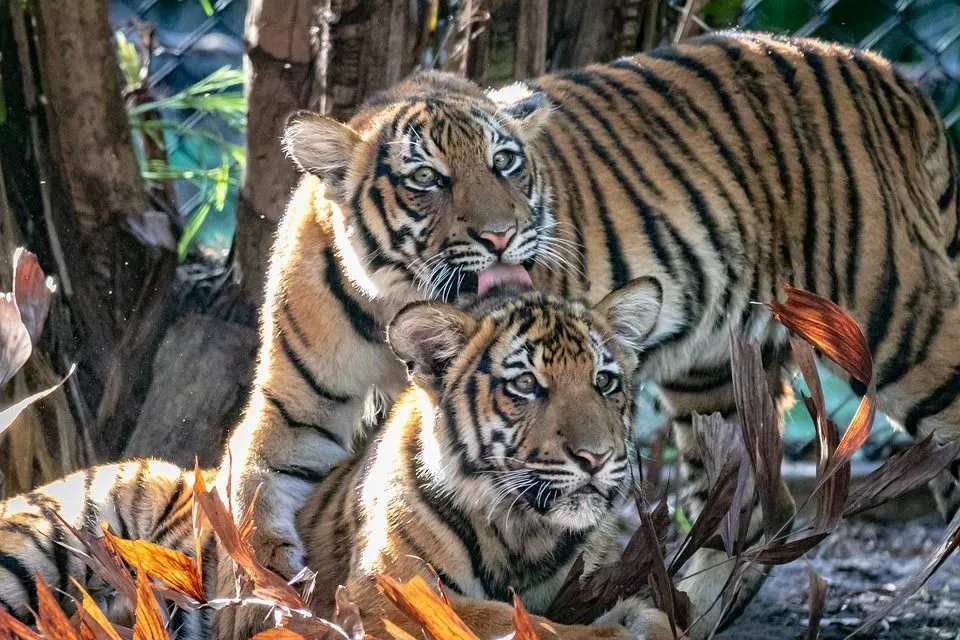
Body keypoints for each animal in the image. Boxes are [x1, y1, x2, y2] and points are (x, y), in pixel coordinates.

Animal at [1, 280, 676, 640]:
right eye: (527, 386)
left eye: (605, 382)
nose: (596, 457)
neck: (525, 533)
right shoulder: (388, 592)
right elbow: (512, 622)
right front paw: (628, 626)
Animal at [218, 28, 960, 632]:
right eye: (426, 177)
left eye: (506, 162)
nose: (501, 236)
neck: (396, 300)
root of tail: (887, 72)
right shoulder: (295, 406)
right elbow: (250, 491)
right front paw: (263, 594)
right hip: (717, 374)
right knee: (752, 501)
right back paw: (690, 610)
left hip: (900, 318)